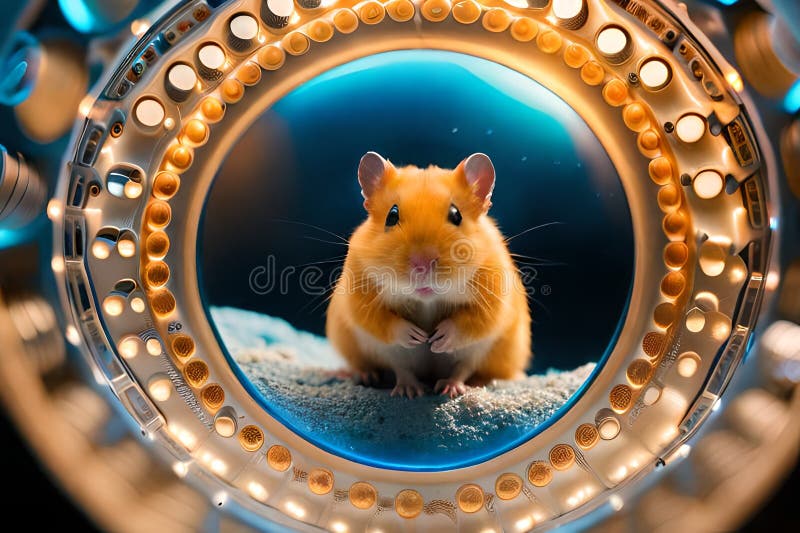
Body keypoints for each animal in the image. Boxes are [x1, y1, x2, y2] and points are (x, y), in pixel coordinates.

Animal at [325, 152, 532, 398]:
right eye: (391, 216)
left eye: (456, 215)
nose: (422, 264)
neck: (427, 299)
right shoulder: (361, 298)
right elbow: (383, 321)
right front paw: (418, 337)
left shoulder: (493, 300)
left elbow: (471, 322)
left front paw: (436, 339)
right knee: (400, 368)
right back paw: (397, 387)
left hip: (481, 351)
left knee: (463, 369)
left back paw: (455, 388)